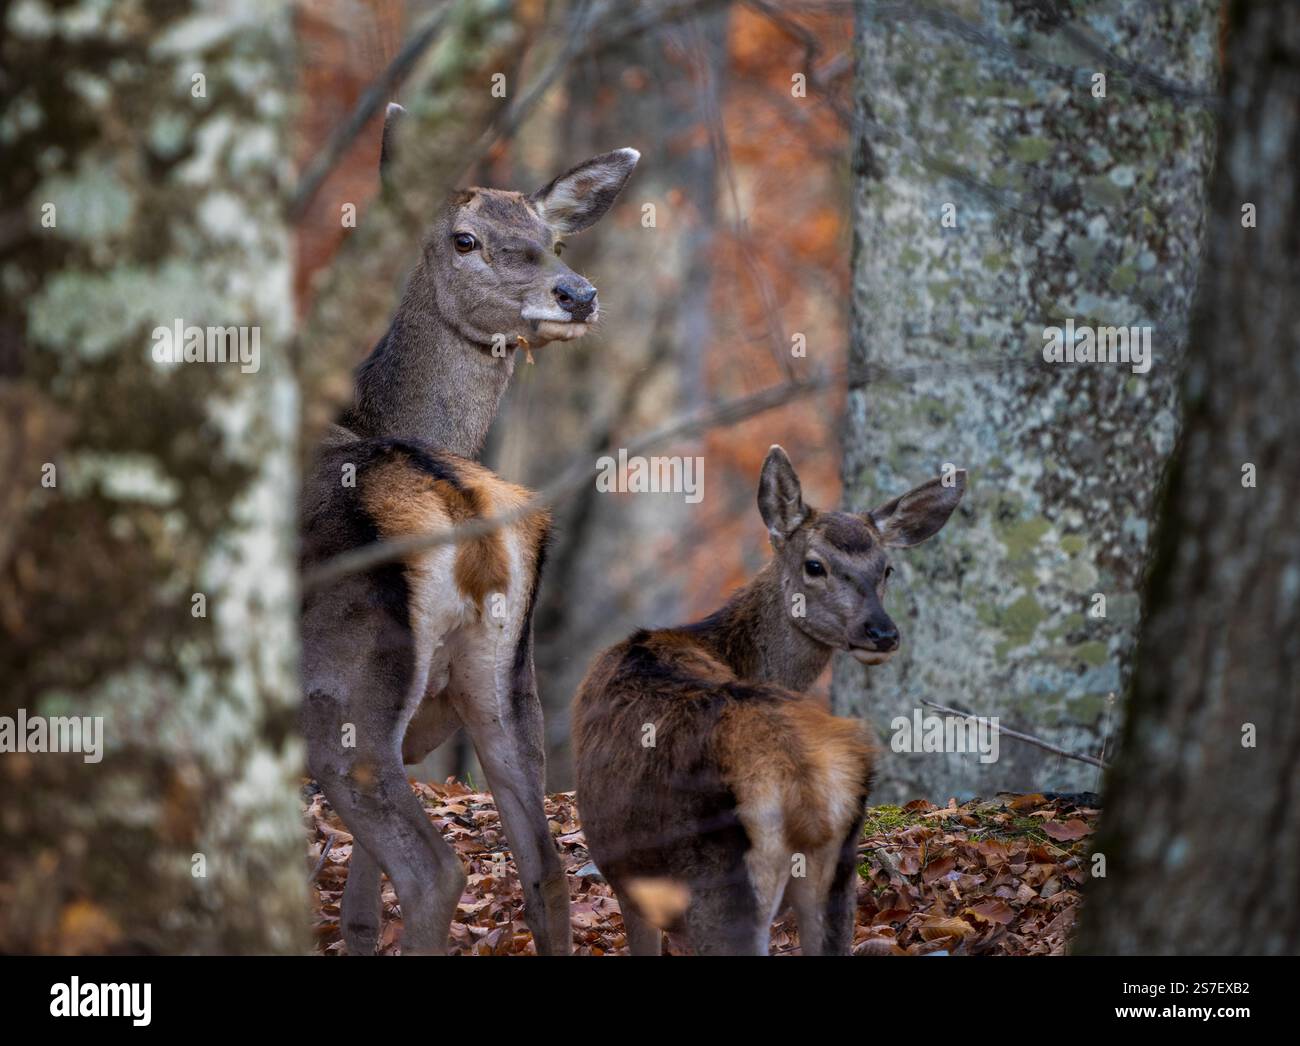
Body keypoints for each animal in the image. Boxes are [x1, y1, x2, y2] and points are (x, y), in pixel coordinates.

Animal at [301, 103, 638, 955]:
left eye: (552, 237)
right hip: (508, 683)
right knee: (545, 865)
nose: (578, 293)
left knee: (433, 872)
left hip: (339, 696)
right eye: (465, 239)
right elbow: (357, 903)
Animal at [572, 445, 965, 955]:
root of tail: (801, 777)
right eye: (814, 565)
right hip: (839, 874)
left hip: (717, 885)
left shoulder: (626, 880)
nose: (882, 632)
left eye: (886, 568)